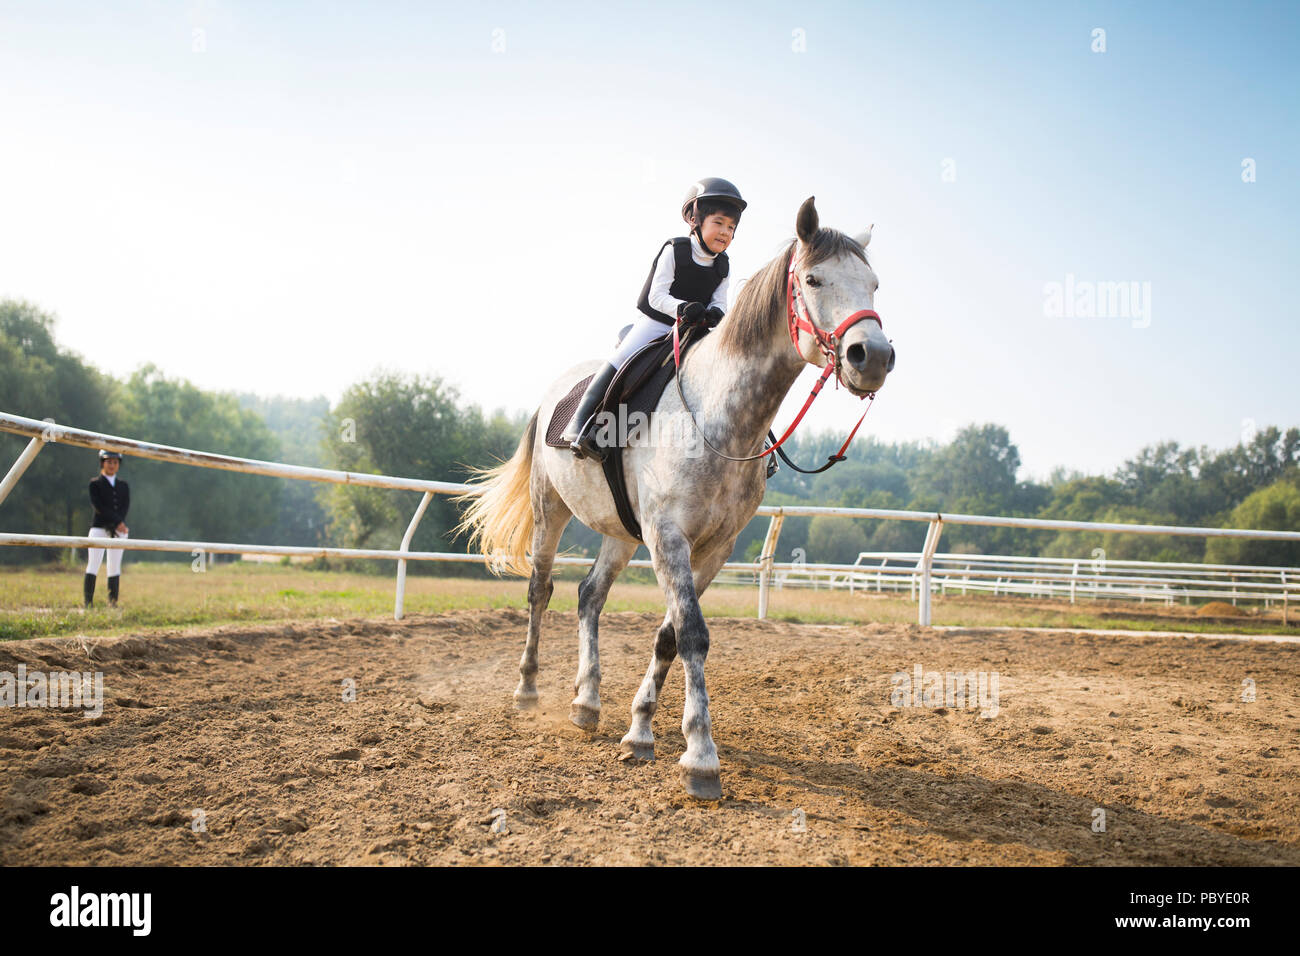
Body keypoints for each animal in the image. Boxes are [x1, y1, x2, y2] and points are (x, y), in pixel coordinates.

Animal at [455, 196, 895, 799]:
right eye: (813, 278)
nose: (871, 356)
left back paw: (587, 701)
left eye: (873, 283)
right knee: (540, 591)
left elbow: (668, 635)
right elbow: (691, 634)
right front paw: (701, 756)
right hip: (552, 513)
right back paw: (527, 690)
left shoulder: (712, 548)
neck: (716, 416)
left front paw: (641, 729)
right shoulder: (669, 540)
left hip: (620, 533)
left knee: (589, 596)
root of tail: (554, 395)